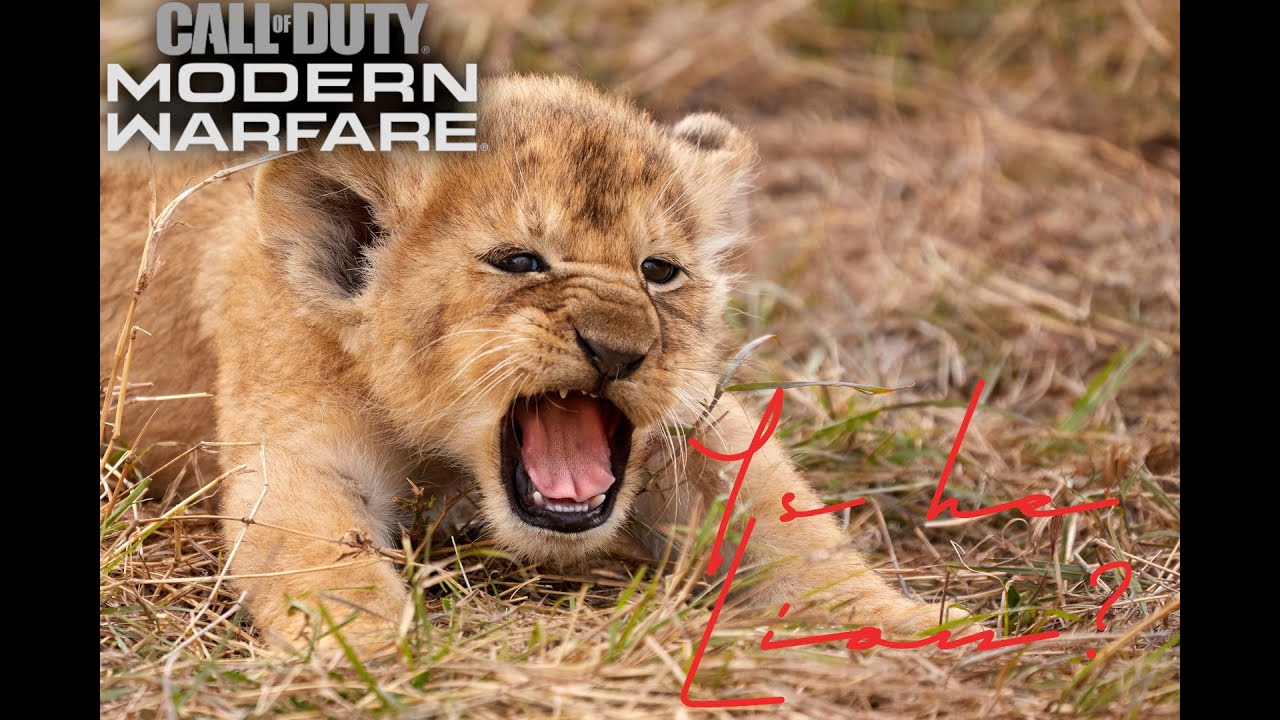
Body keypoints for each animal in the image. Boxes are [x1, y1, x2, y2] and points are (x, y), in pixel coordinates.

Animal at [100, 75, 967, 654]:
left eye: (659, 271)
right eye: (519, 261)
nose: (618, 348)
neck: (454, 462)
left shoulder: (694, 419)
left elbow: (795, 530)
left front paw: (915, 625)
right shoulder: (295, 449)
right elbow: (319, 551)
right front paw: (367, 645)